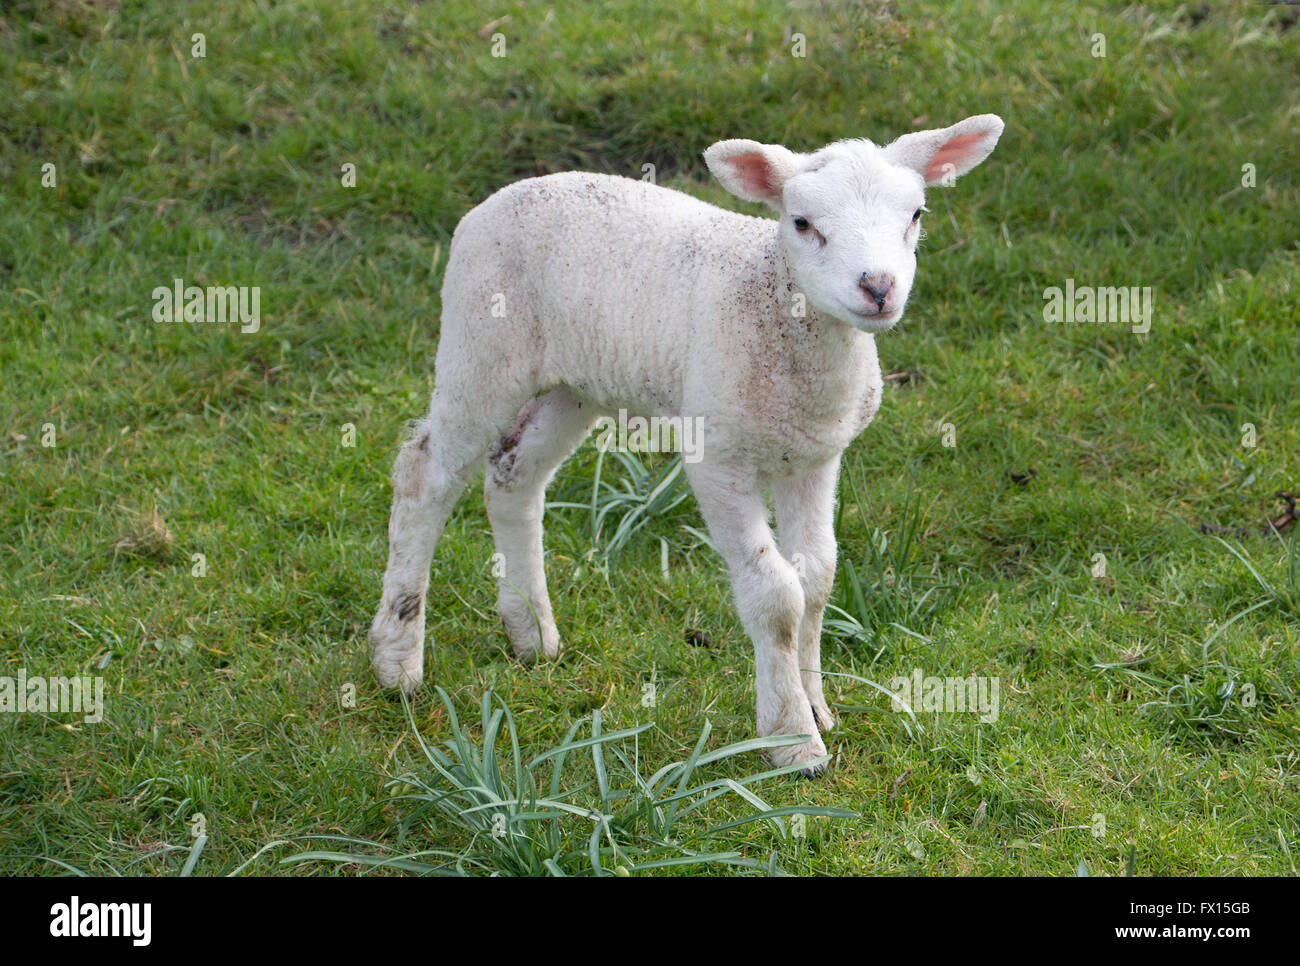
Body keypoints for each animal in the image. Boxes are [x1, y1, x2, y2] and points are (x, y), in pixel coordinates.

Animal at [368, 115, 1004, 775]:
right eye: (803, 223)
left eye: (917, 214)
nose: (878, 287)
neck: (783, 322)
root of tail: (501, 196)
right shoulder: (717, 456)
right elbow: (776, 594)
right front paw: (792, 738)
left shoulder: (813, 455)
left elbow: (817, 578)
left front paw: (816, 704)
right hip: (481, 346)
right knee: (424, 476)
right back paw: (397, 660)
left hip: (578, 381)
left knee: (515, 472)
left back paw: (531, 633)